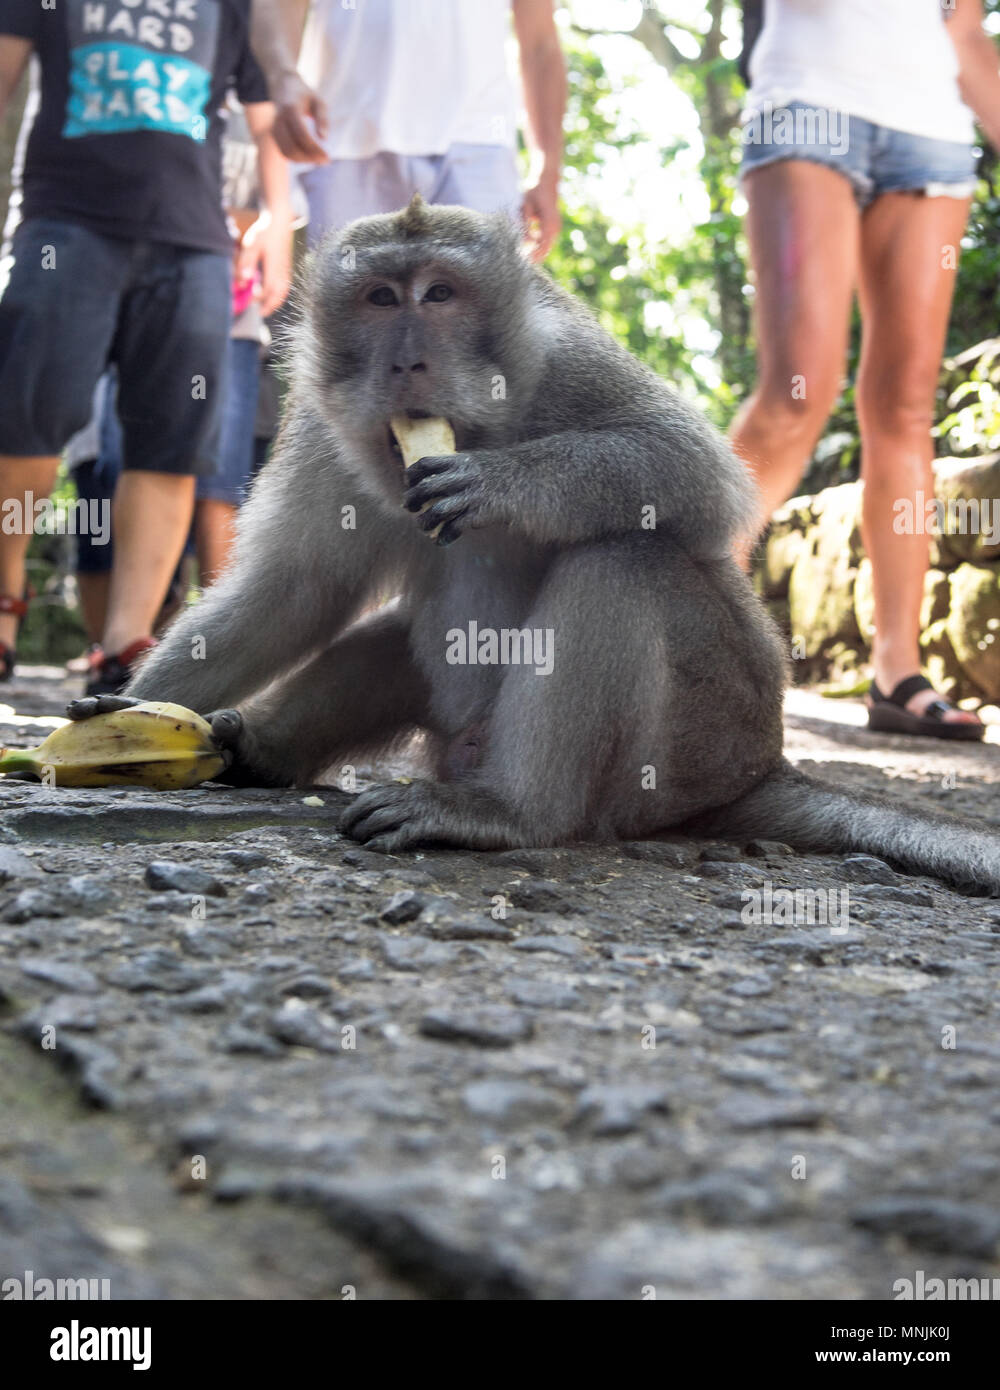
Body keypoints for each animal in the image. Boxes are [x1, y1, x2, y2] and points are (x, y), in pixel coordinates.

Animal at [68, 196, 1000, 896]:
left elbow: (701, 479)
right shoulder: (324, 434)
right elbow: (292, 589)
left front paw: (503, 485)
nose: (408, 362)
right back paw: (257, 749)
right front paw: (127, 706)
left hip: (687, 751)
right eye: (381, 299)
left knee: (624, 562)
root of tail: (760, 768)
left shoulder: (568, 361)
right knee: (401, 642)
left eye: (441, 294)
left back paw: (510, 814)